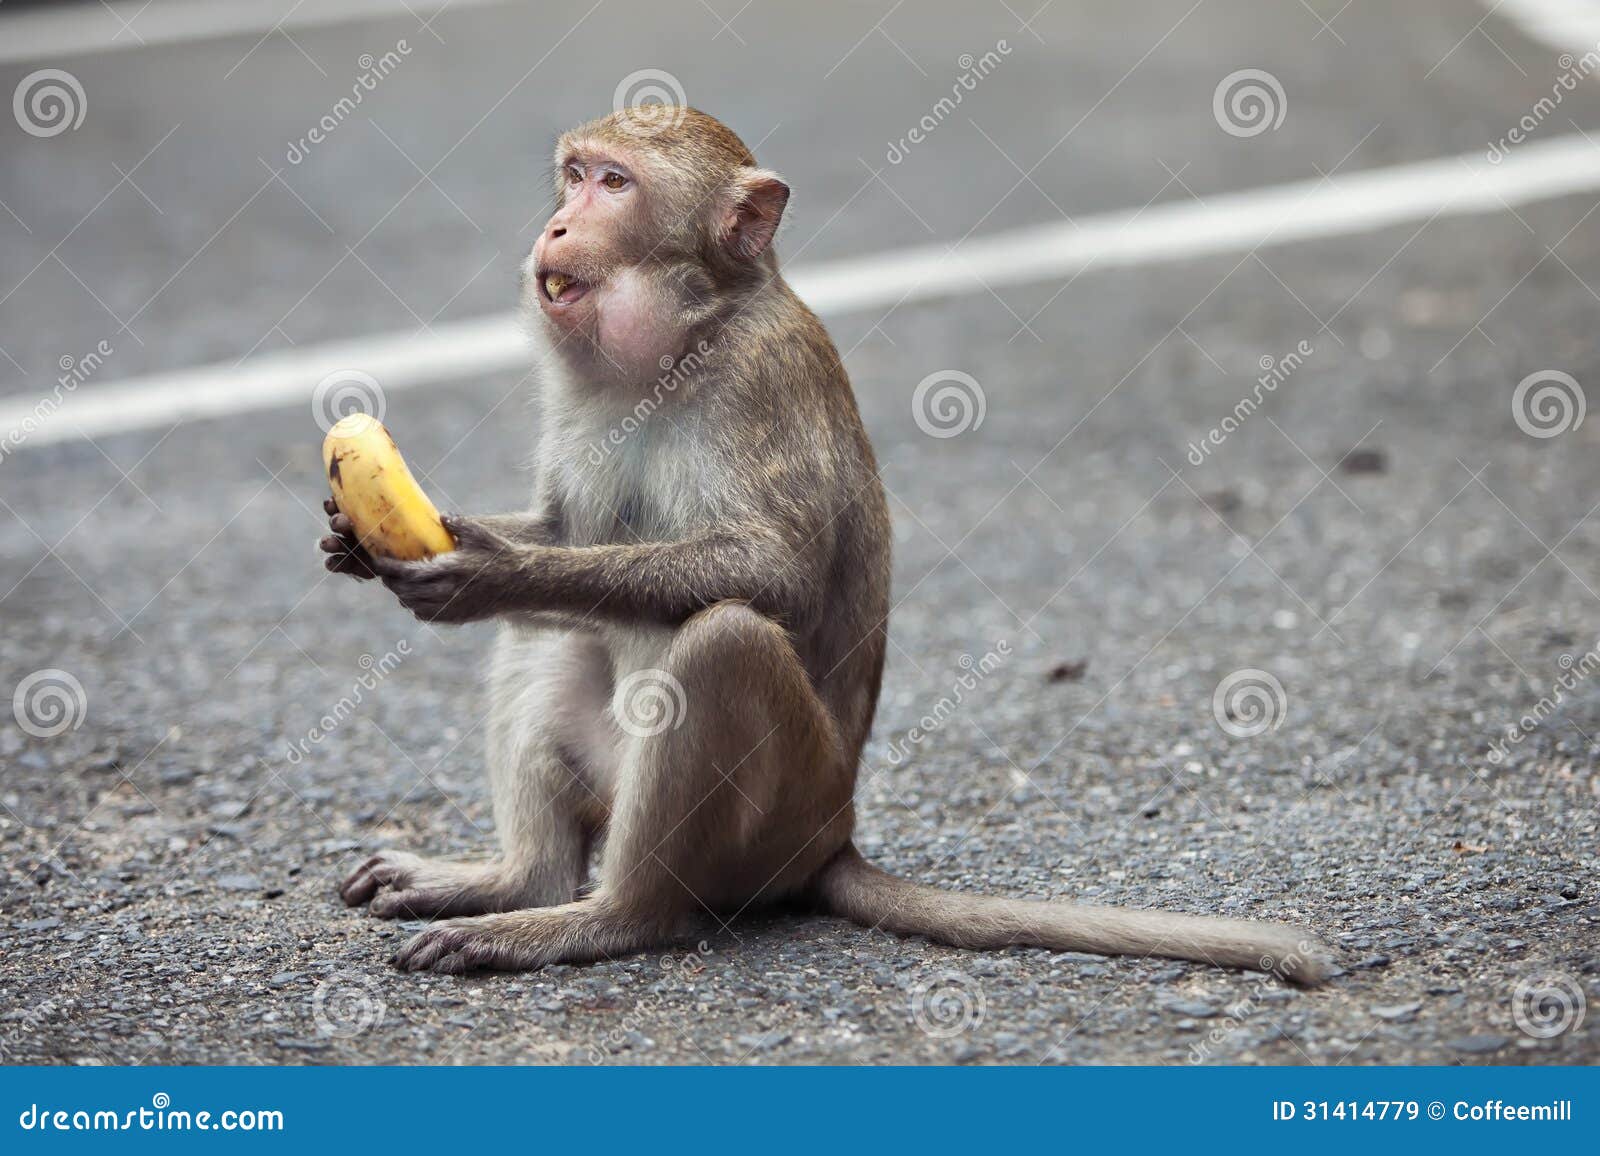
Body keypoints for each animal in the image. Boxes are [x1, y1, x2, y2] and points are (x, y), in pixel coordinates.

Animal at [320, 107, 1334, 985]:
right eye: (574, 176)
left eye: (615, 184)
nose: (559, 226)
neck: (681, 345)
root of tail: (834, 833)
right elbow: (570, 537)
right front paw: (387, 544)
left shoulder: (761, 381)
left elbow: (777, 576)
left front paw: (493, 571)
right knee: (553, 631)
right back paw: (516, 881)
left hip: (774, 818)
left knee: (724, 643)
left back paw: (603, 918)